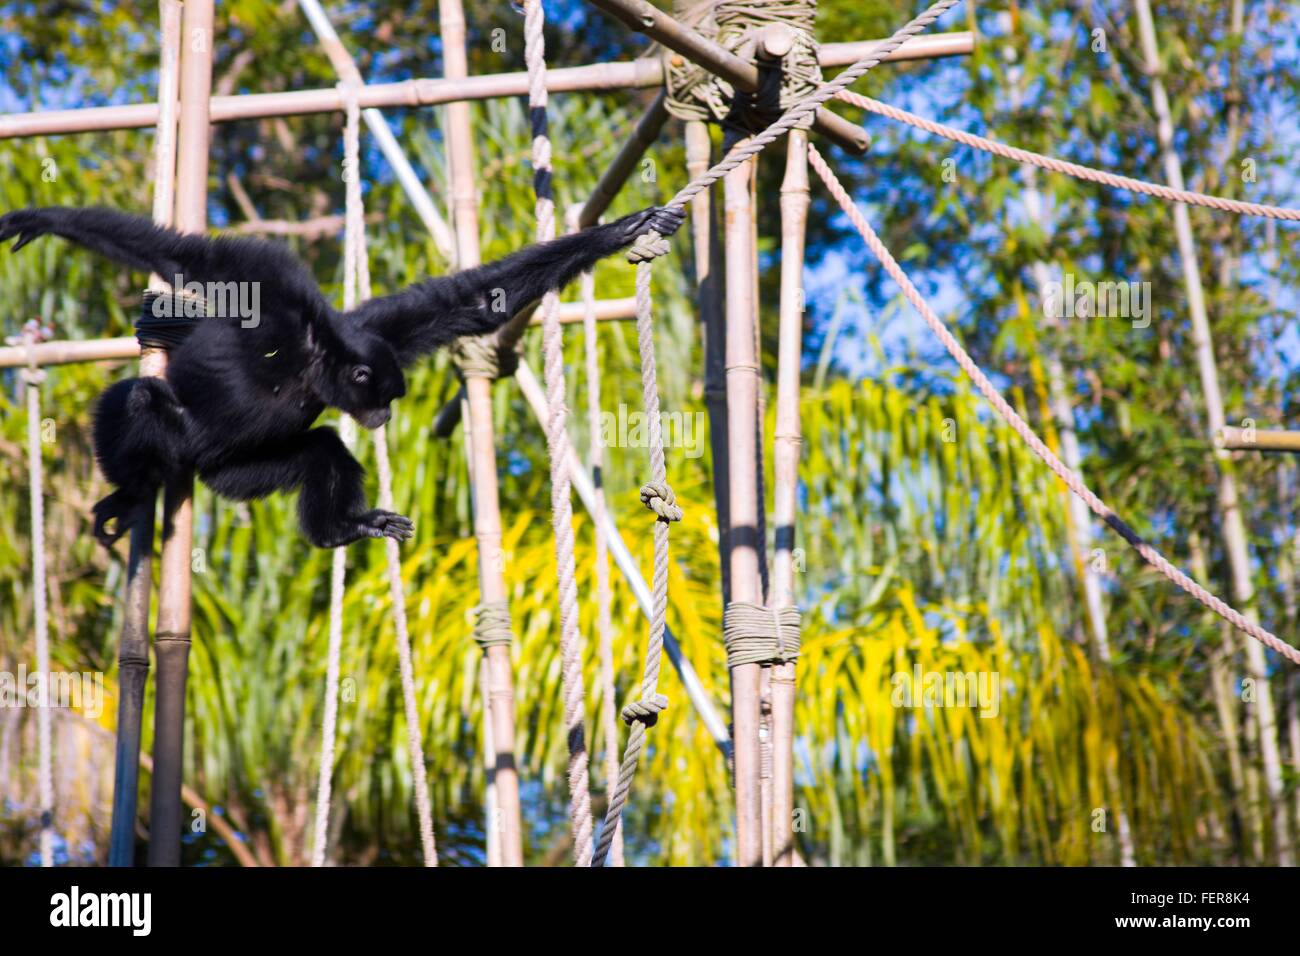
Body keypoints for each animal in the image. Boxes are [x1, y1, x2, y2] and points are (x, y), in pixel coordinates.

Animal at [0, 204, 685, 549]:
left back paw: (342, 530)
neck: (314, 365)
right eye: (384, 395)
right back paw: (132, 490)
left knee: (319, 449)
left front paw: (627, 227)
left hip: (231, 474)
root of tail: (193, 464)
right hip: (184, 448)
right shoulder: (281, 296)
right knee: (141, 398)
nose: (387, 414)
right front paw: (46, 218)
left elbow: (471, 300)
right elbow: (197, 257)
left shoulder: (380, 328)